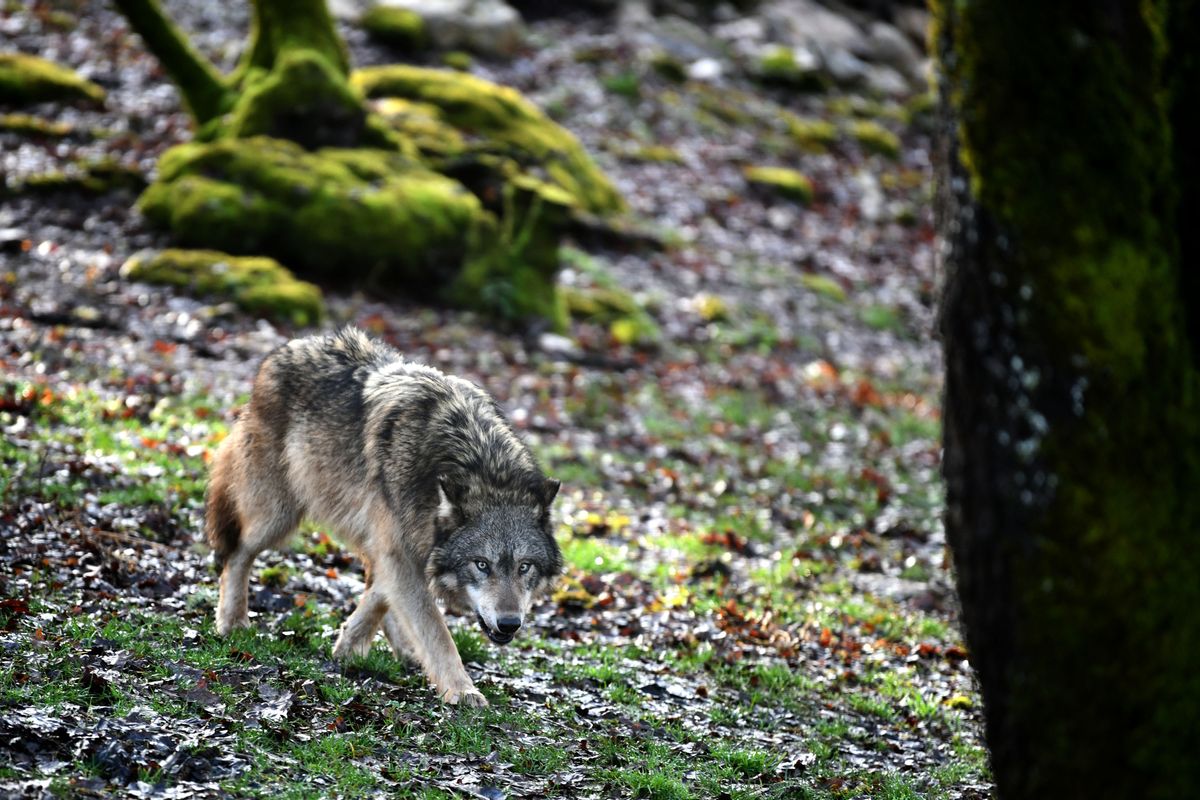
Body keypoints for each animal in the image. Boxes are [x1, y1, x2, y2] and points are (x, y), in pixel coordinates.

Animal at [205, 328, 562, 706]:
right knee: (237, 553)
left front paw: (349, 644)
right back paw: (232, 622)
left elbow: (386, 598)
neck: (480, 464)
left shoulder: (402, 547)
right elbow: (436, 632)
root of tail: (287, 348)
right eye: (481, 564)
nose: (510, 623)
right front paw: (462, 690)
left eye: (525, 567)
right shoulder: (400, 549)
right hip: (277, 516)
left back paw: (402, 651)